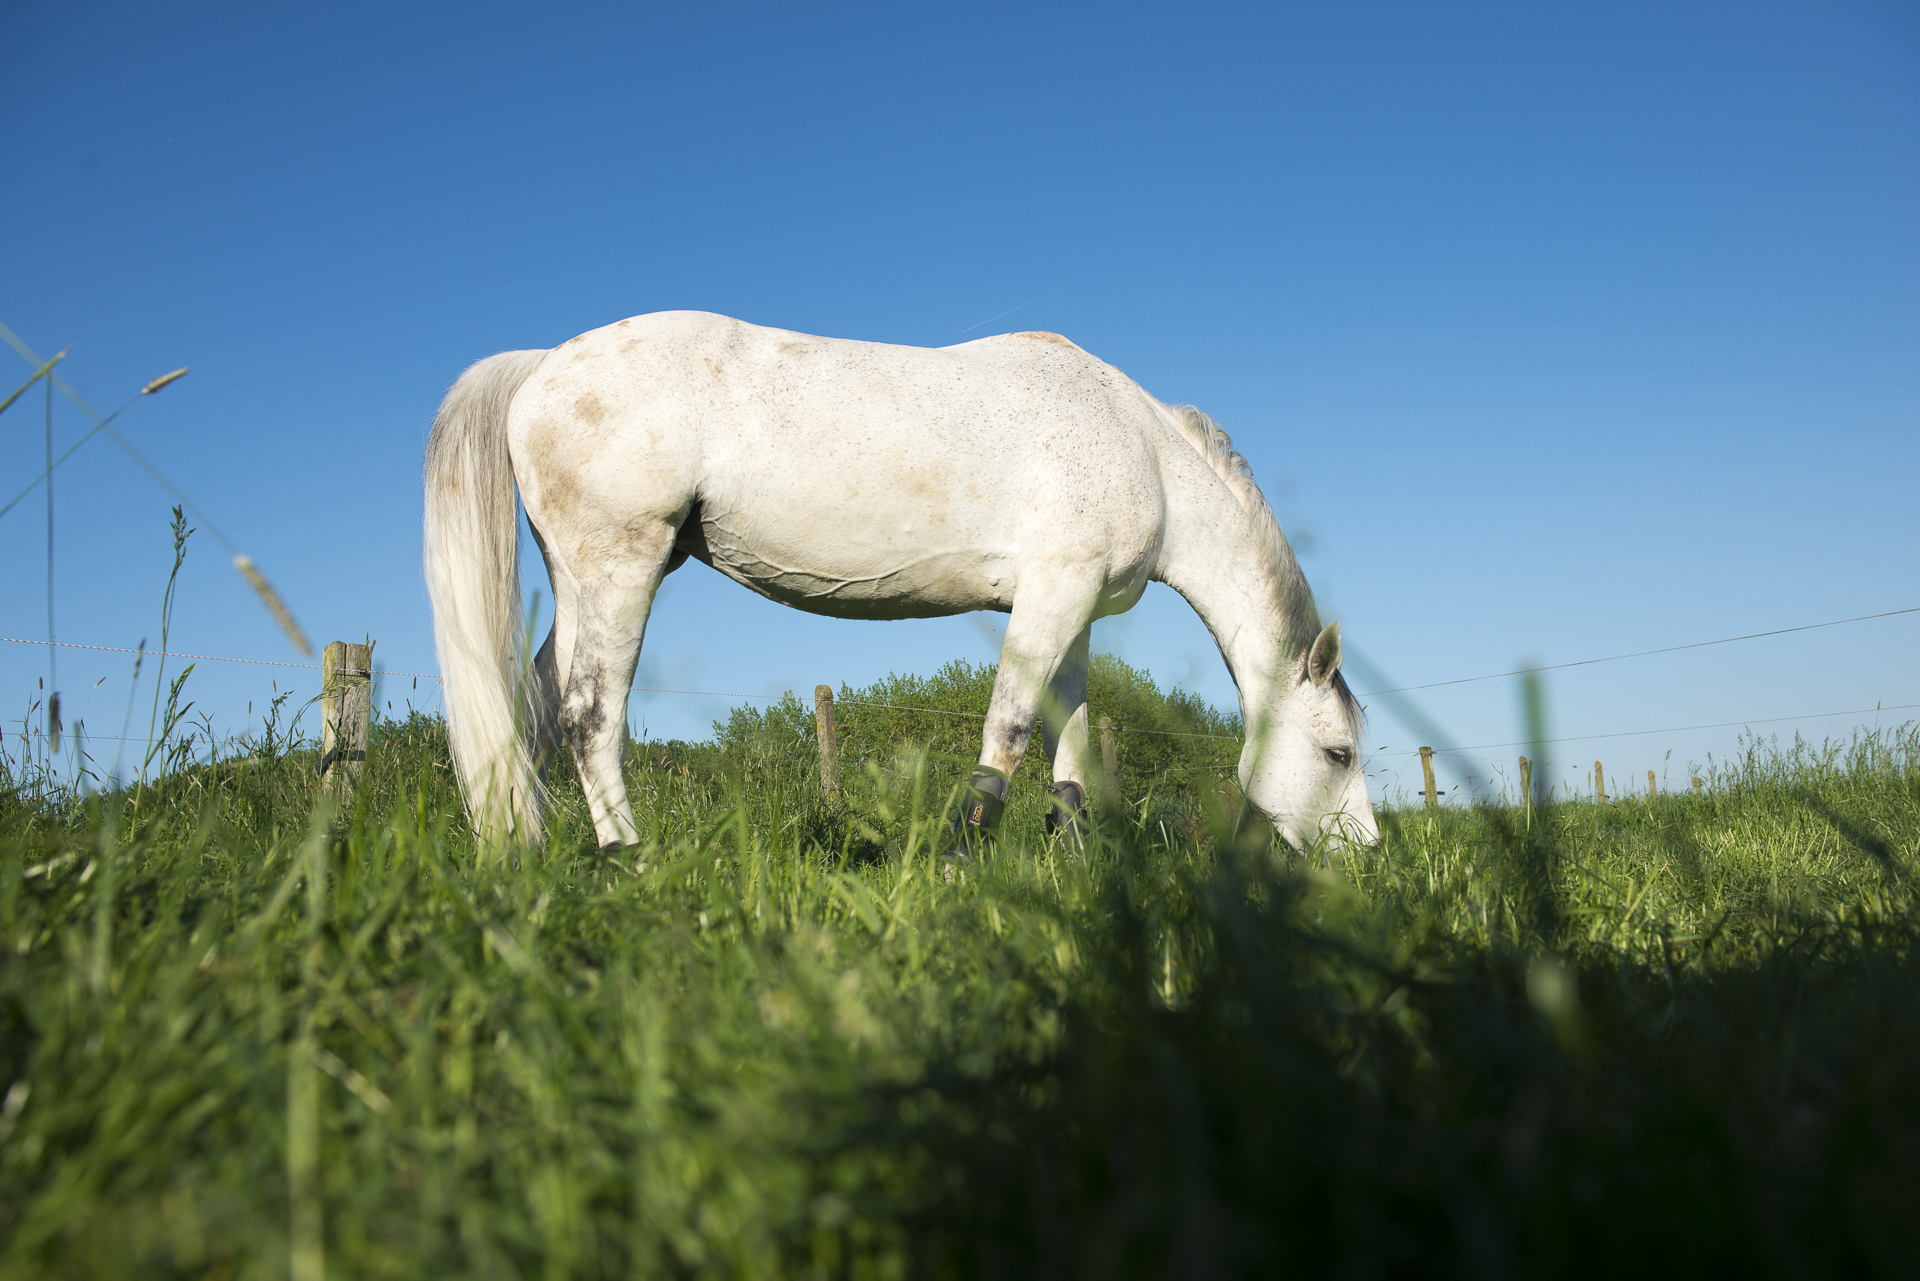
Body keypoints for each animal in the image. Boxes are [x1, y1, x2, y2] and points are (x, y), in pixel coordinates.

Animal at [423, 311, 1376, 854]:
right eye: (1340, 752)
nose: (1368, 856)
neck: (1139, 445)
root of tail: (542, 363)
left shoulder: (1074, 609)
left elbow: (1069, 744)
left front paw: (1076, 864)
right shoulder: (1052, 594)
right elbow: (1010, 730)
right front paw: (964, 856)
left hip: (581, 581)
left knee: (536, 710)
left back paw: (525, 851)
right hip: (620, 567)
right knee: (590, 716)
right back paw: (626, 855)